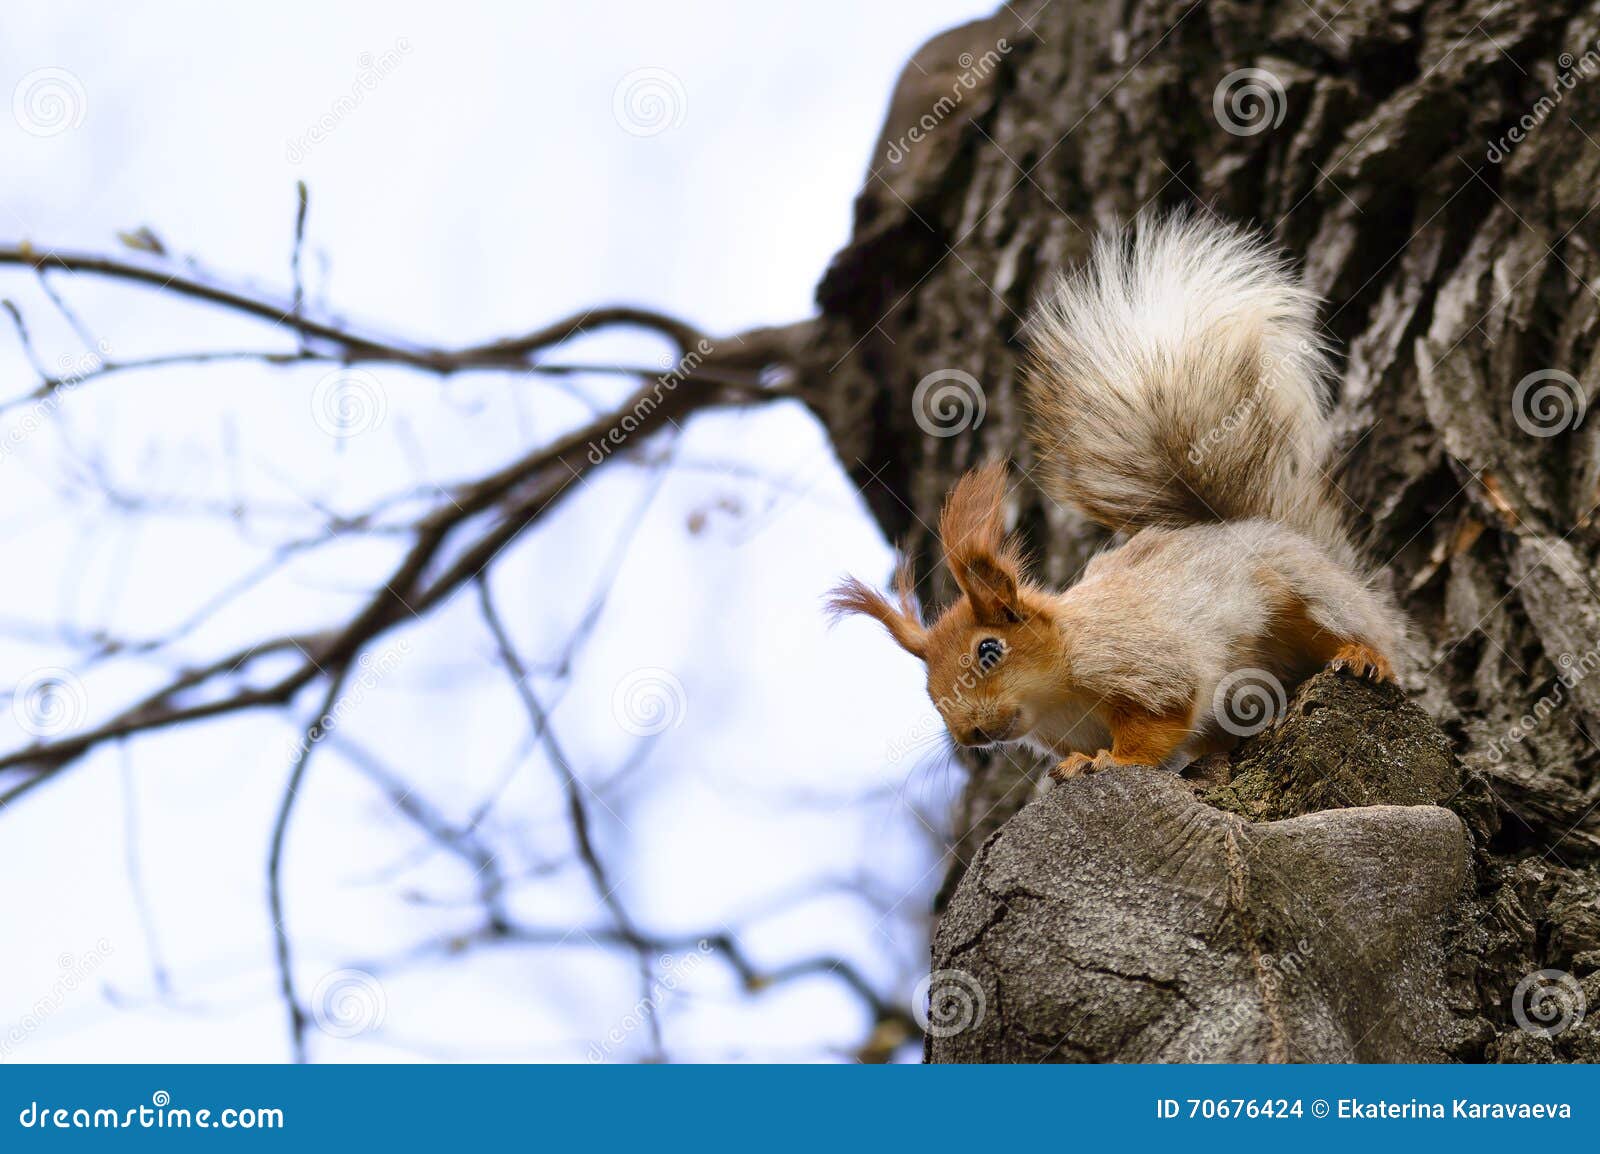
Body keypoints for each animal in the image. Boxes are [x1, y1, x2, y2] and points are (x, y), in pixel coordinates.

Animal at [827, 214, 1405, 780]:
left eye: (989, 650)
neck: (1057, 688)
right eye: (927, 684)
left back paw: (1364, 656)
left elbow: (1157, 722)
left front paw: (1113, 759)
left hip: (1303, 596)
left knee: (1358, 634)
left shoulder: (1144, 664)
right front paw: (1078, 763)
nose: (969, 733)